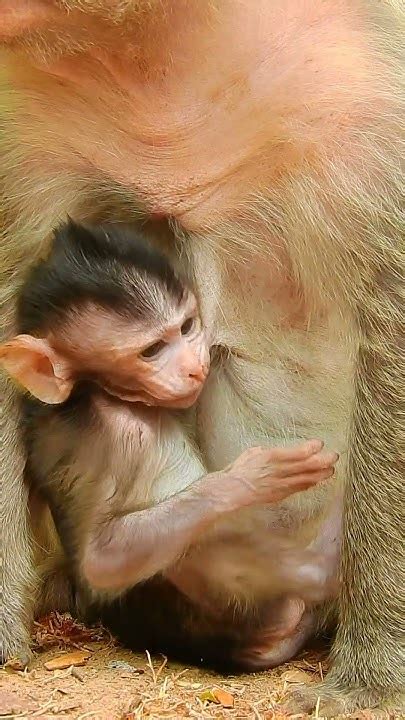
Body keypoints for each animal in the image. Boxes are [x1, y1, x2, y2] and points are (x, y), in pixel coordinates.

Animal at [0, 218, 339, 670]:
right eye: (152, 351)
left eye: (186, 327)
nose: (195, 368)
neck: (103, 394)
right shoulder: (117, 437)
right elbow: (101, 560)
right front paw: (253, 478)